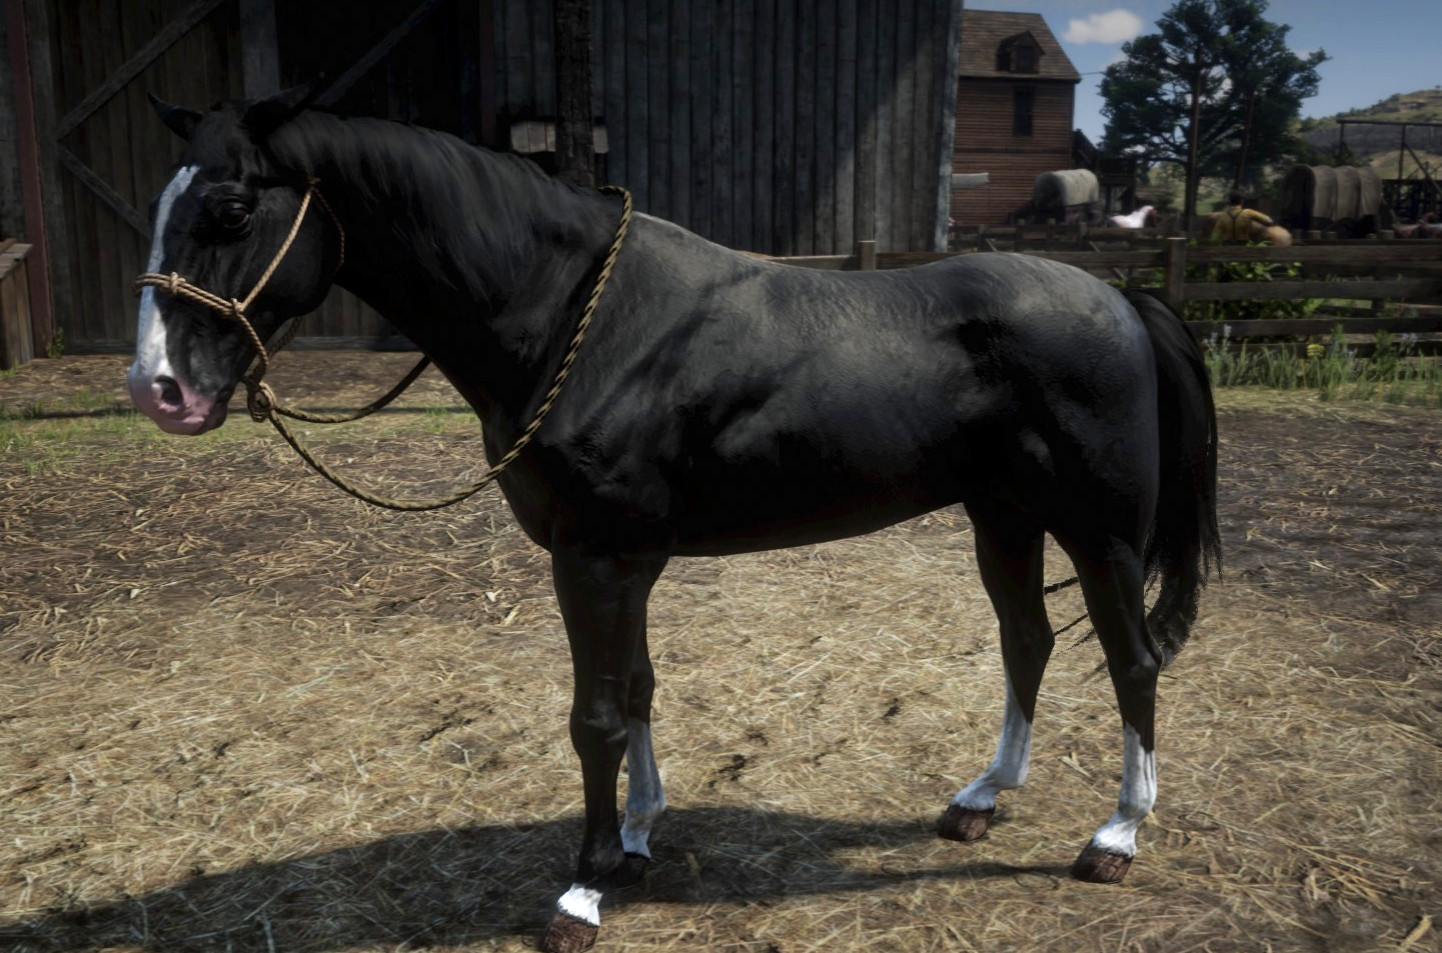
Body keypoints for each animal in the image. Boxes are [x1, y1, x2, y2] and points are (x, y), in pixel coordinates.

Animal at [128, 90, 1221, 953]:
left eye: (230, 207)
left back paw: (1115, 836)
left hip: (1099, 533)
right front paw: (635, 841)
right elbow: (641, 689)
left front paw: (581, 888)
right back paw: (981, 800)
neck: (576, 317)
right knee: (1027, 639)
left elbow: (598, 715)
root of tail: (1121, 299)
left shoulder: (596, 558)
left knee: (1130, 661)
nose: (159, 389)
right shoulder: (627, 560)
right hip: (1003, 517)